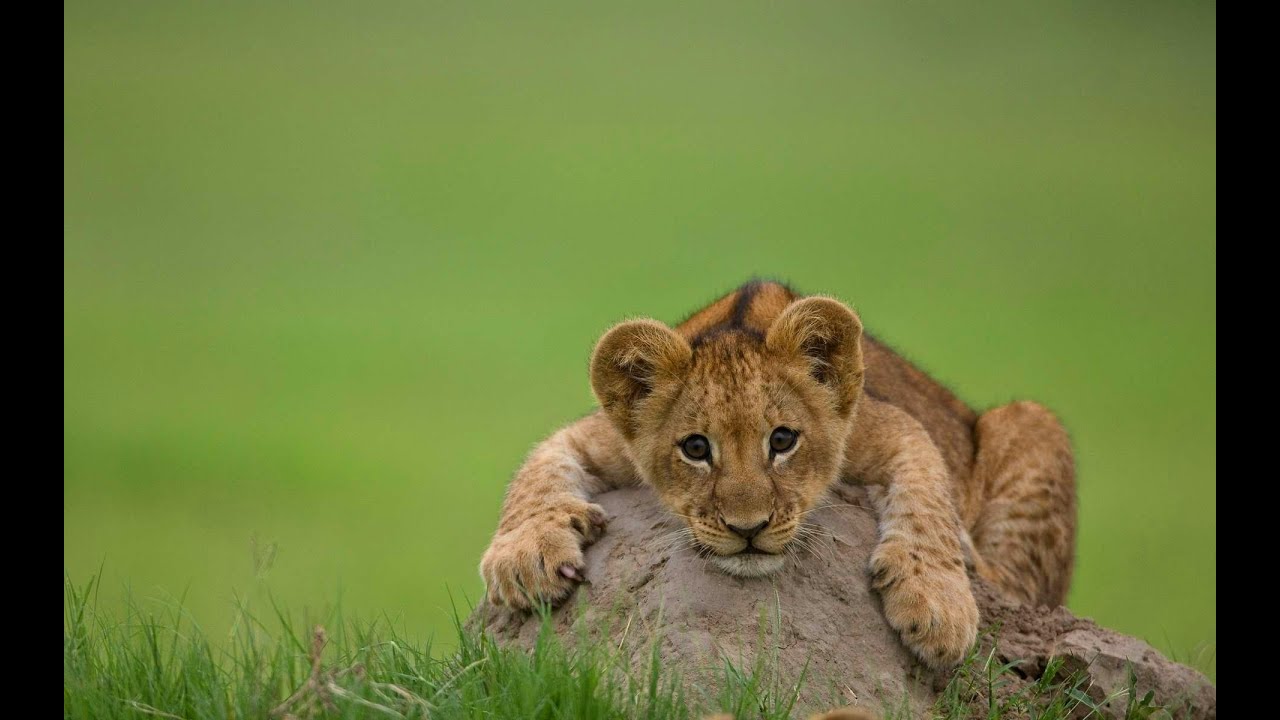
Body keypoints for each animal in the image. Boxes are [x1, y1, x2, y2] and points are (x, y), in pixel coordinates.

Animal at [479, 280, 1076, 669]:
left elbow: (928, 495)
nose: (749, 529)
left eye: (783, 440)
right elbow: (536, 470)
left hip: (1032, 420)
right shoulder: (598, 436)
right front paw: (524, 558)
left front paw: (936, 602)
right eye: (696, 448)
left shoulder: (892, 425)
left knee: (1021, 587)